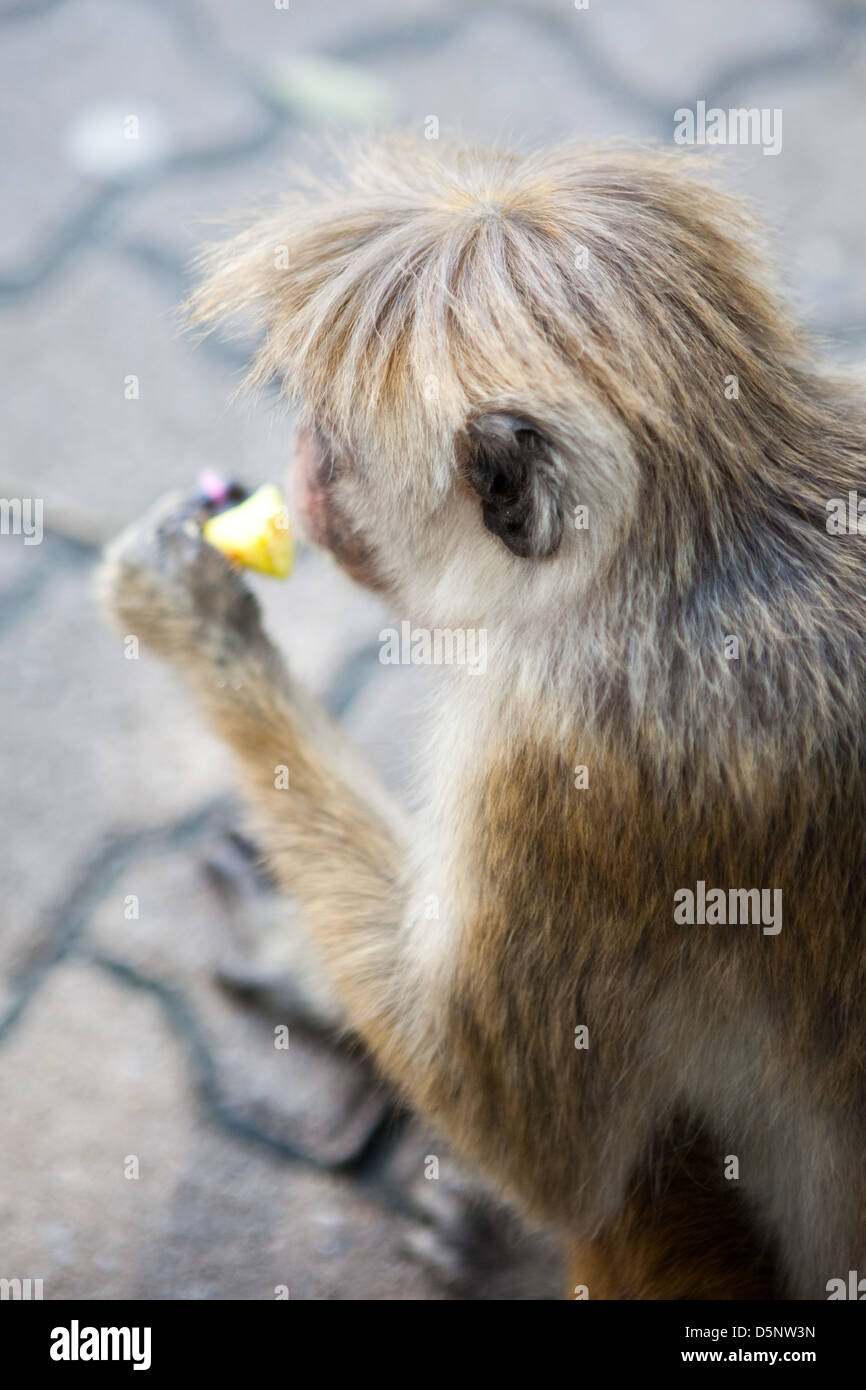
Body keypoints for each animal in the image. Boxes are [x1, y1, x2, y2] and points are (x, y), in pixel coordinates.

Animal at [99, 136, 866, 1300]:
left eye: (330, 442)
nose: (297, 462)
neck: (700, 550)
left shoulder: (566, 760)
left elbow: (526, 1142)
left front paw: (197, 622)